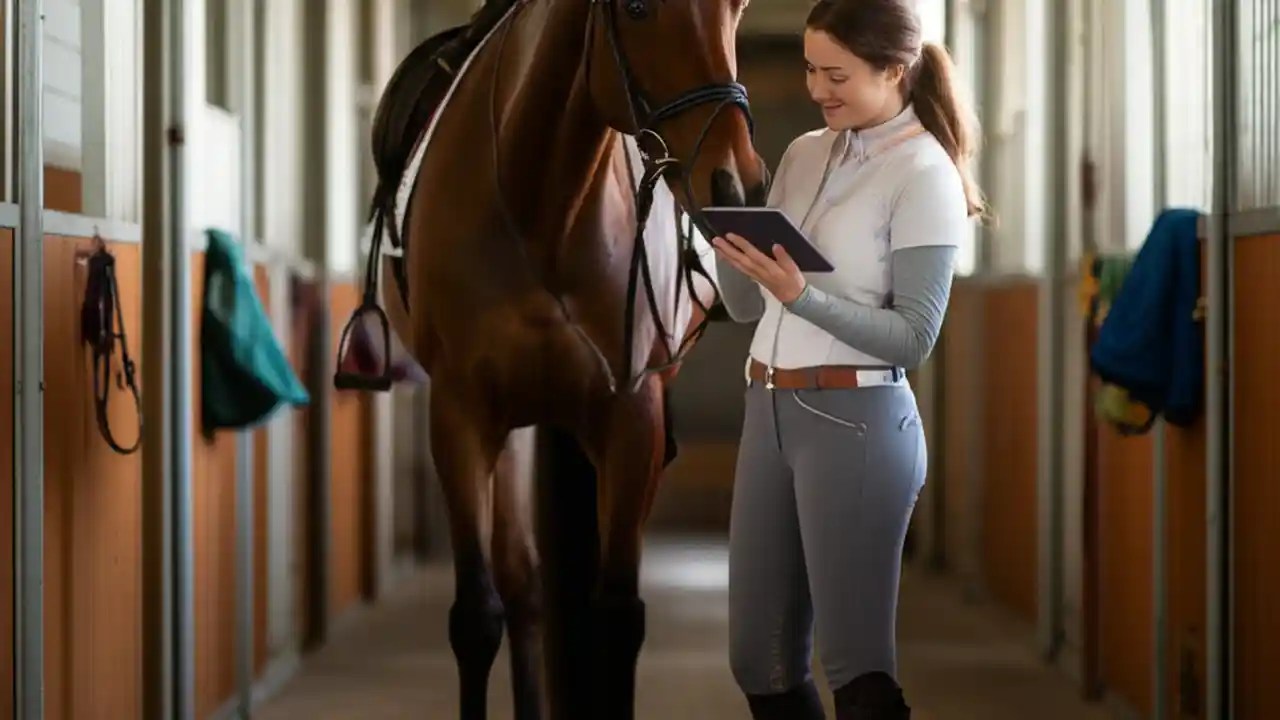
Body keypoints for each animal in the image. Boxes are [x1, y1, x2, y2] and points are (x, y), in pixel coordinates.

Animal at [335, 0, 768, 716]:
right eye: (638, 9)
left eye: (737, 10)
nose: (737, 185)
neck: (545, 206)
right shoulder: (463, 417)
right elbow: (477, 618)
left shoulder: (631, 421)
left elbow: (616, 619)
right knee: (523, 585)